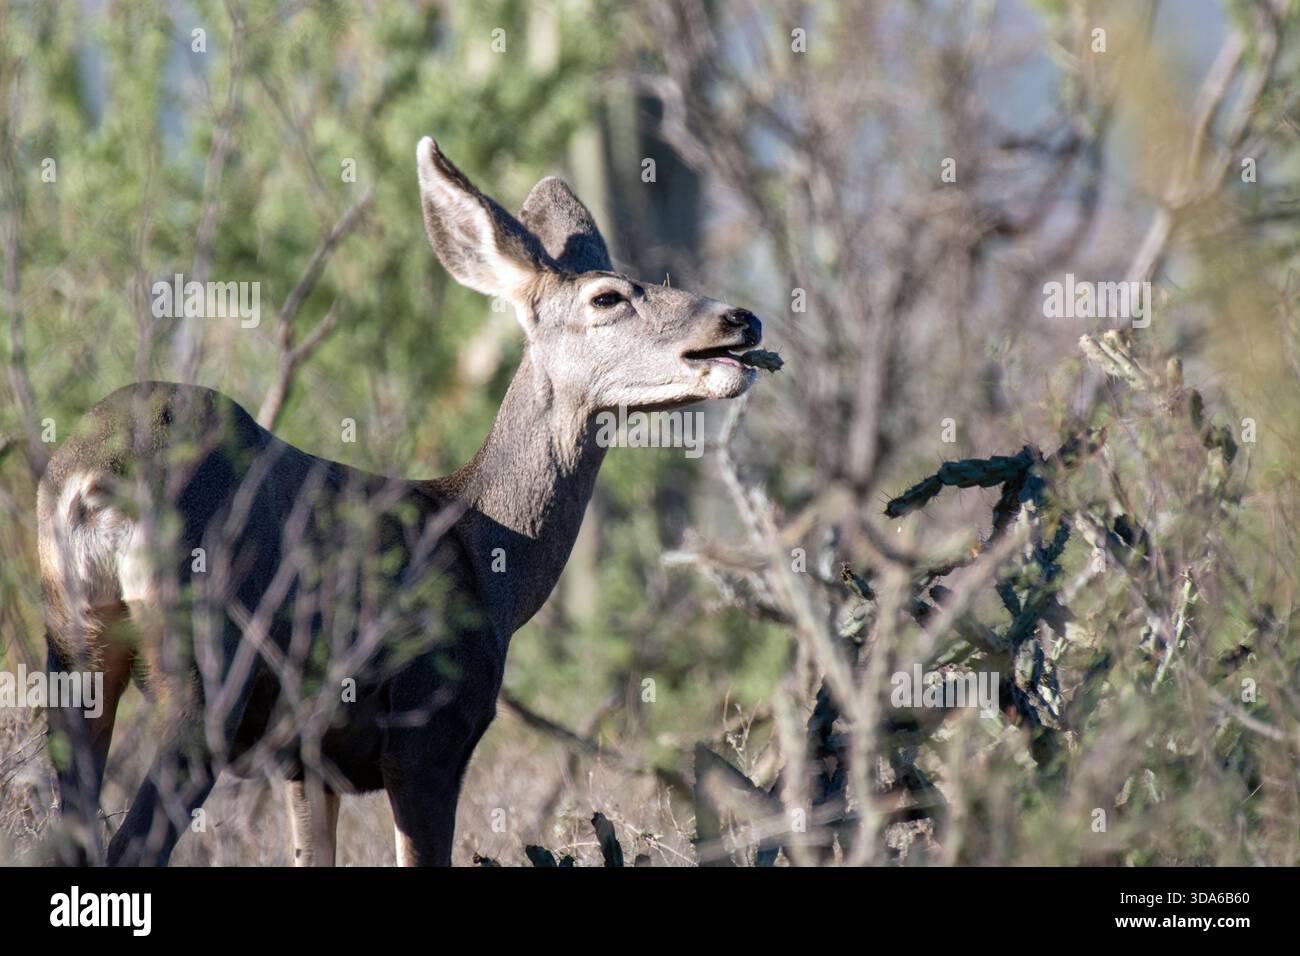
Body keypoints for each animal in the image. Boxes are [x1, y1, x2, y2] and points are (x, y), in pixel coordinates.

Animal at [36, 136, 763, 866]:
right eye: (607, 296)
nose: (742, 318)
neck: (491, 555)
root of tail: (93, 479)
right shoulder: (430, 731)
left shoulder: (306, 761)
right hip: (205, 667)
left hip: (72, 648)